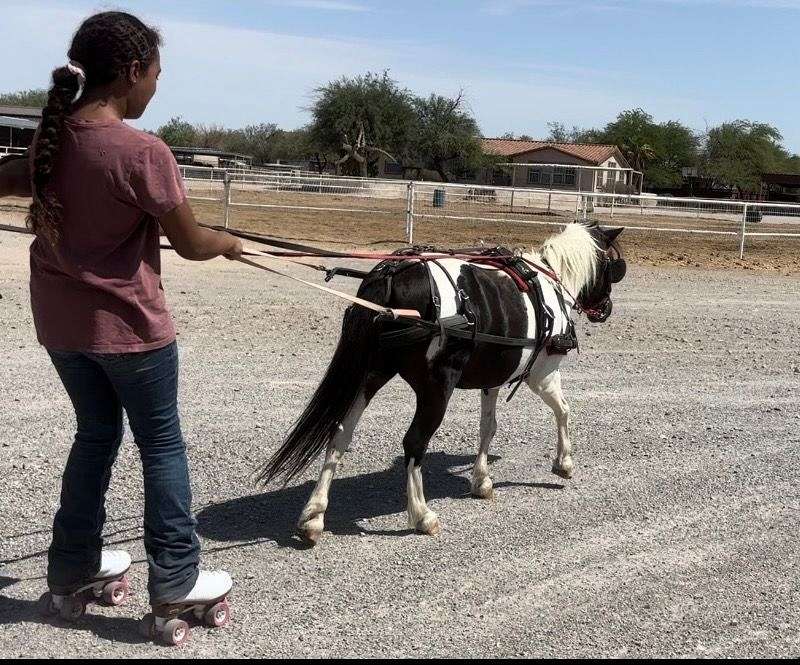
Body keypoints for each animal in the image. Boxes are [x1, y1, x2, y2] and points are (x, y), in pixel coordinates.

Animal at [258, 223, 626, 545]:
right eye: (613, 266)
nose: (606, 309)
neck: (551, 281)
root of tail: (391, 274)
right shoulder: (543, 375)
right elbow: (564, 411)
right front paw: (564, 463)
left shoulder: (492, 379)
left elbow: (488, 427)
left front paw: (482, 481)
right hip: (436, 389)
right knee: (414, 442)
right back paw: (422, 515)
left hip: (368, 377)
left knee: (339, 435)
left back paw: (313, 516)